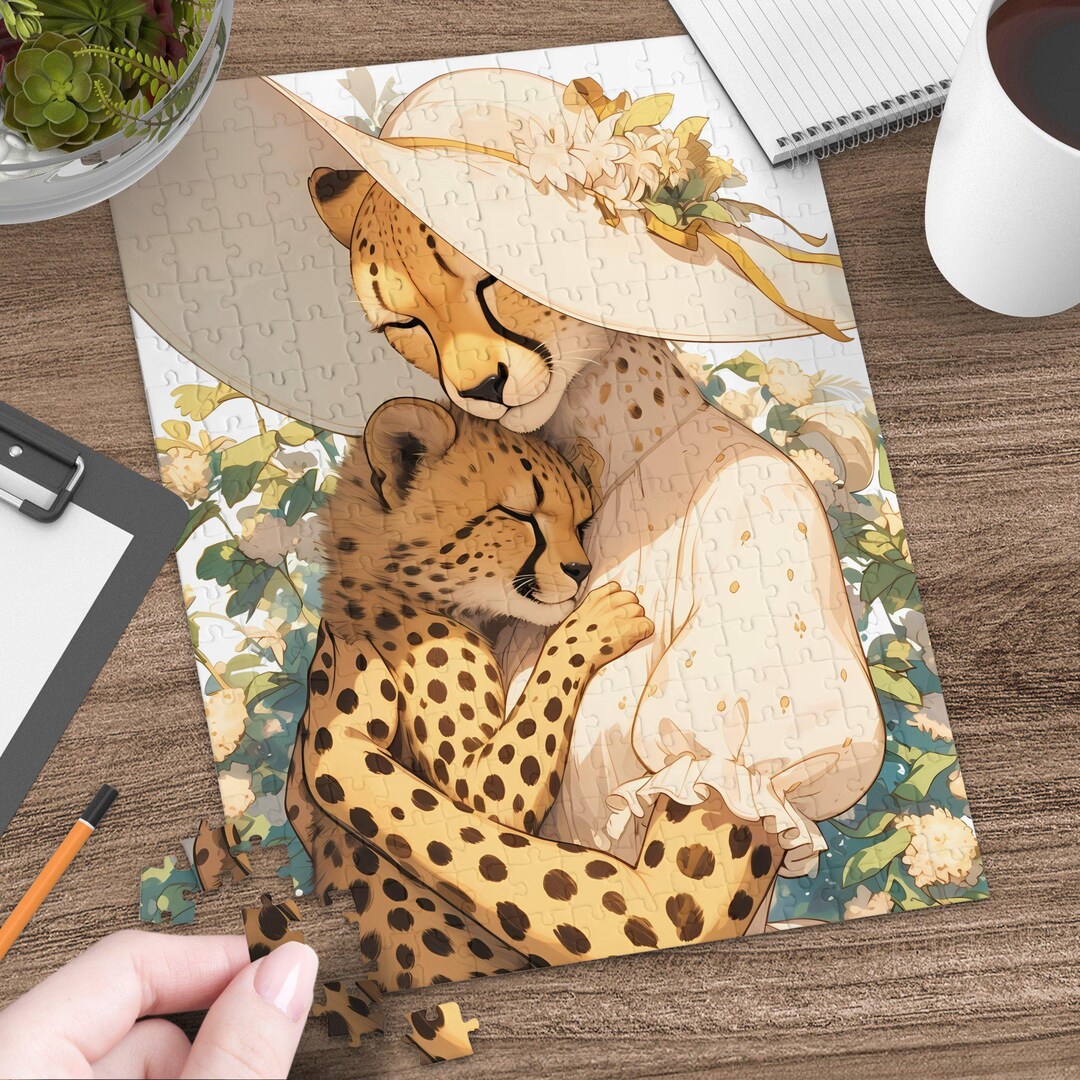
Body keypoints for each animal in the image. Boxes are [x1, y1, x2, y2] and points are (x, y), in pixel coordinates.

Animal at [286, 395, 783, 984]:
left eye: (583, 520)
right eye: (521, 515)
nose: (582, 569)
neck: (383, 574)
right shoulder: (478, 785)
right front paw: (598, 622)